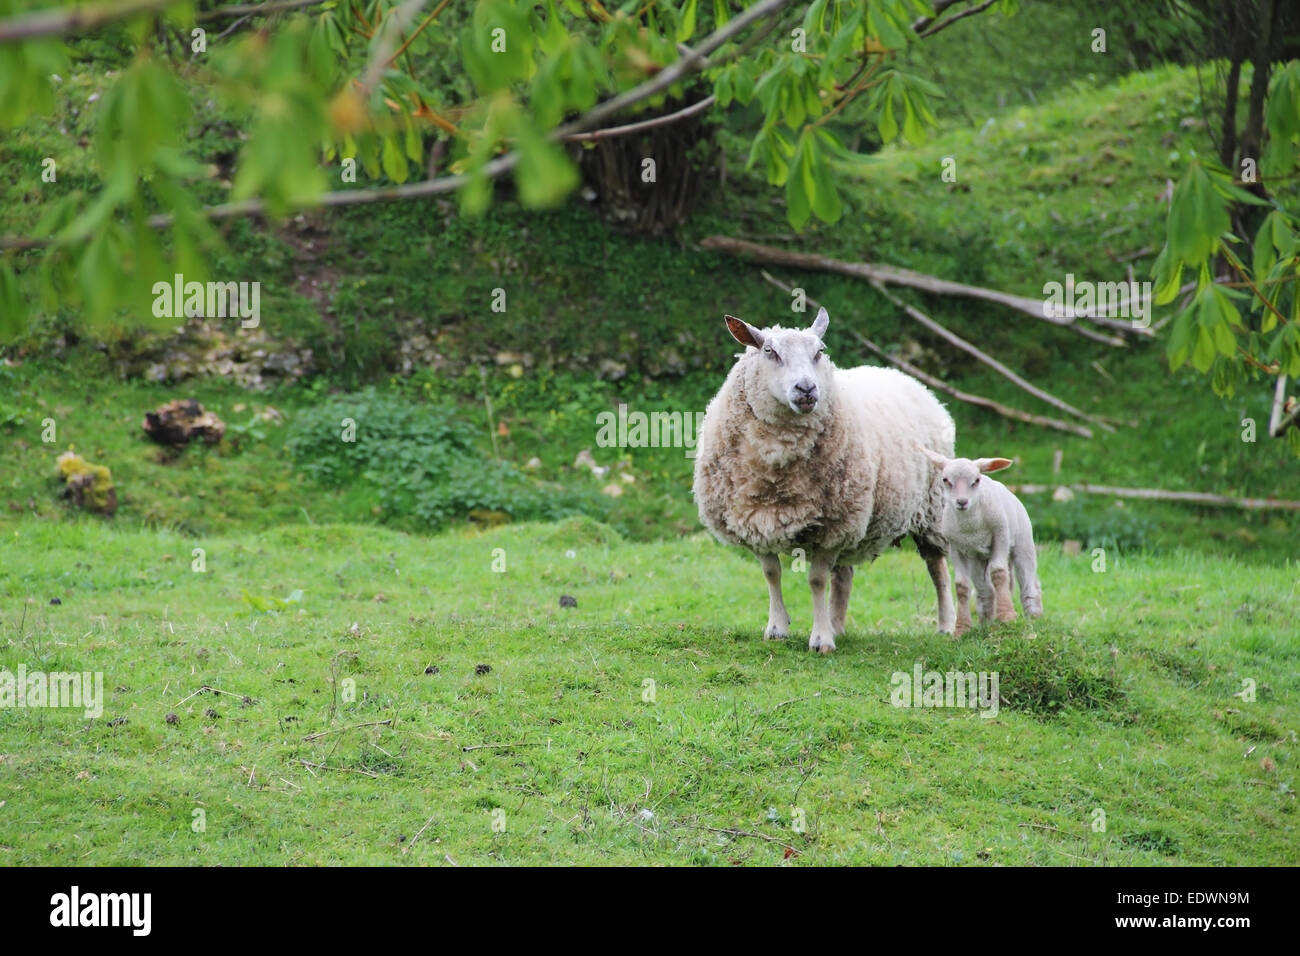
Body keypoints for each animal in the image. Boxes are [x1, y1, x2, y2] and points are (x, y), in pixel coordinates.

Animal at [692, 307, 957, 653]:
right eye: (770, 351)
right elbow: (771, 573)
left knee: (938, 569)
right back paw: (838, 625)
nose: (806, 389)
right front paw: (777, 628)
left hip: (929, 510)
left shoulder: (831, 527)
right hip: (857, 515)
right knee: (843, 576)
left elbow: (816, 580)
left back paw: (946, 626)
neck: (777, 471)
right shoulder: (756, 521)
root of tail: (908, 379)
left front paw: (820, 639)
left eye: (819, 352)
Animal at [919, 449, 1043, 636]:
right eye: (945, 480)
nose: (962, 502)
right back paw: (987, 622)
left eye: (976, 480)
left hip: (1023, 542)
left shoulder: (1000, 535)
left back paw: (1033, 618)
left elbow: (998, 573)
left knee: (1028, 584)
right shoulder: (956, 548)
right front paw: (961, 629)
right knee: (986, 590)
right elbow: (961, 586)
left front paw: (1007, 616)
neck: (971, 527)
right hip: (977, 558)